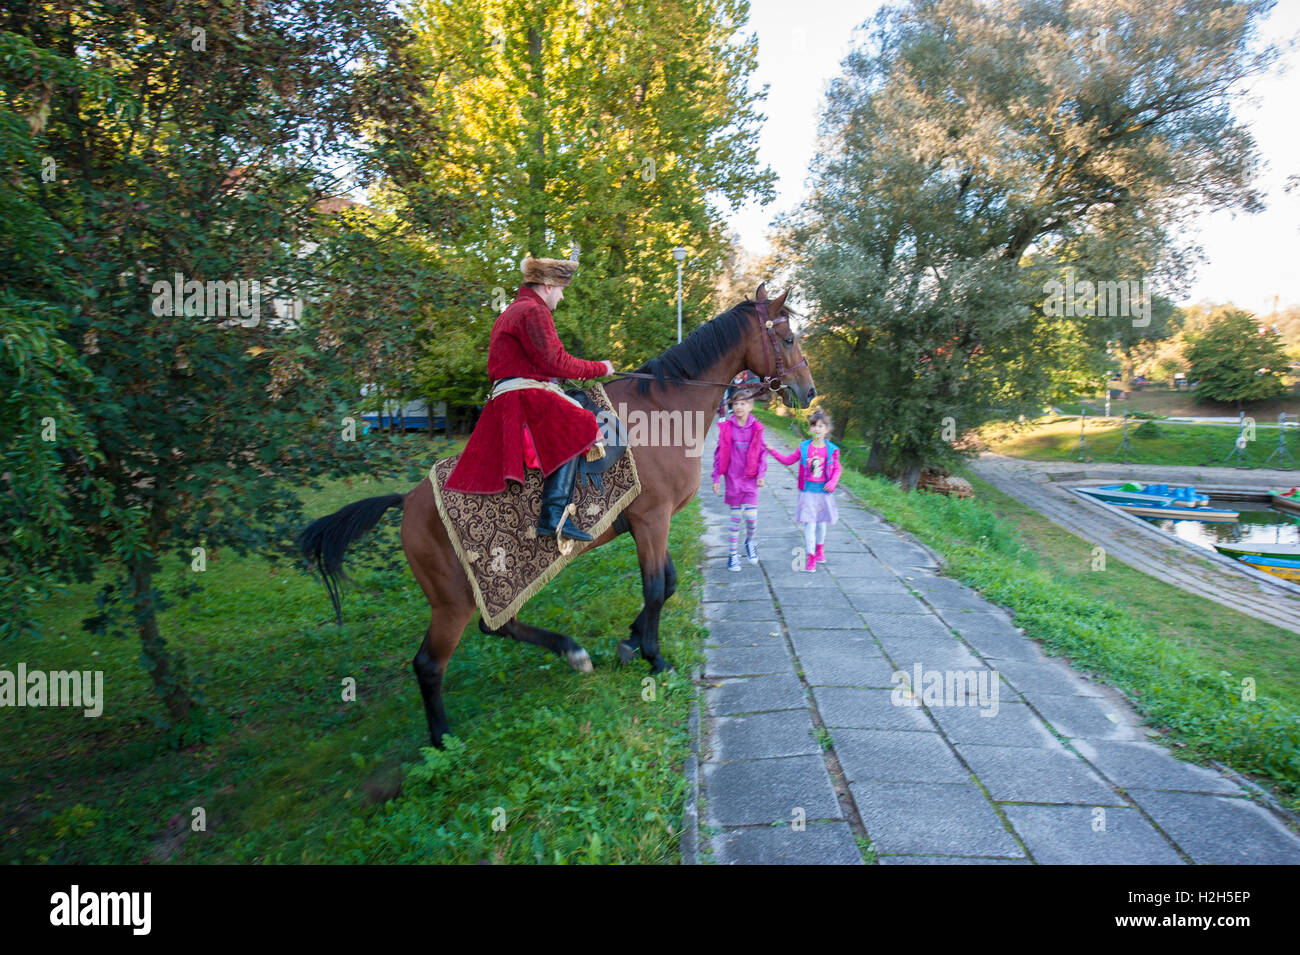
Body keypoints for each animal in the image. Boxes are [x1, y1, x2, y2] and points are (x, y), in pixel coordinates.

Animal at [298, 284, 817, 746]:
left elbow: (666, 585)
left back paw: (572, 652)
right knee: (429, 664)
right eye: (789, 337)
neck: (665, 408)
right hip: (452, 601)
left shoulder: (646, 523)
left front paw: (631, 641)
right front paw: (654, 657)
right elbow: (654, 588)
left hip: (490, 581)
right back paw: (443, 741)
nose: (809, 392)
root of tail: (408, 501)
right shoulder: (653, 519)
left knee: (498, 625)